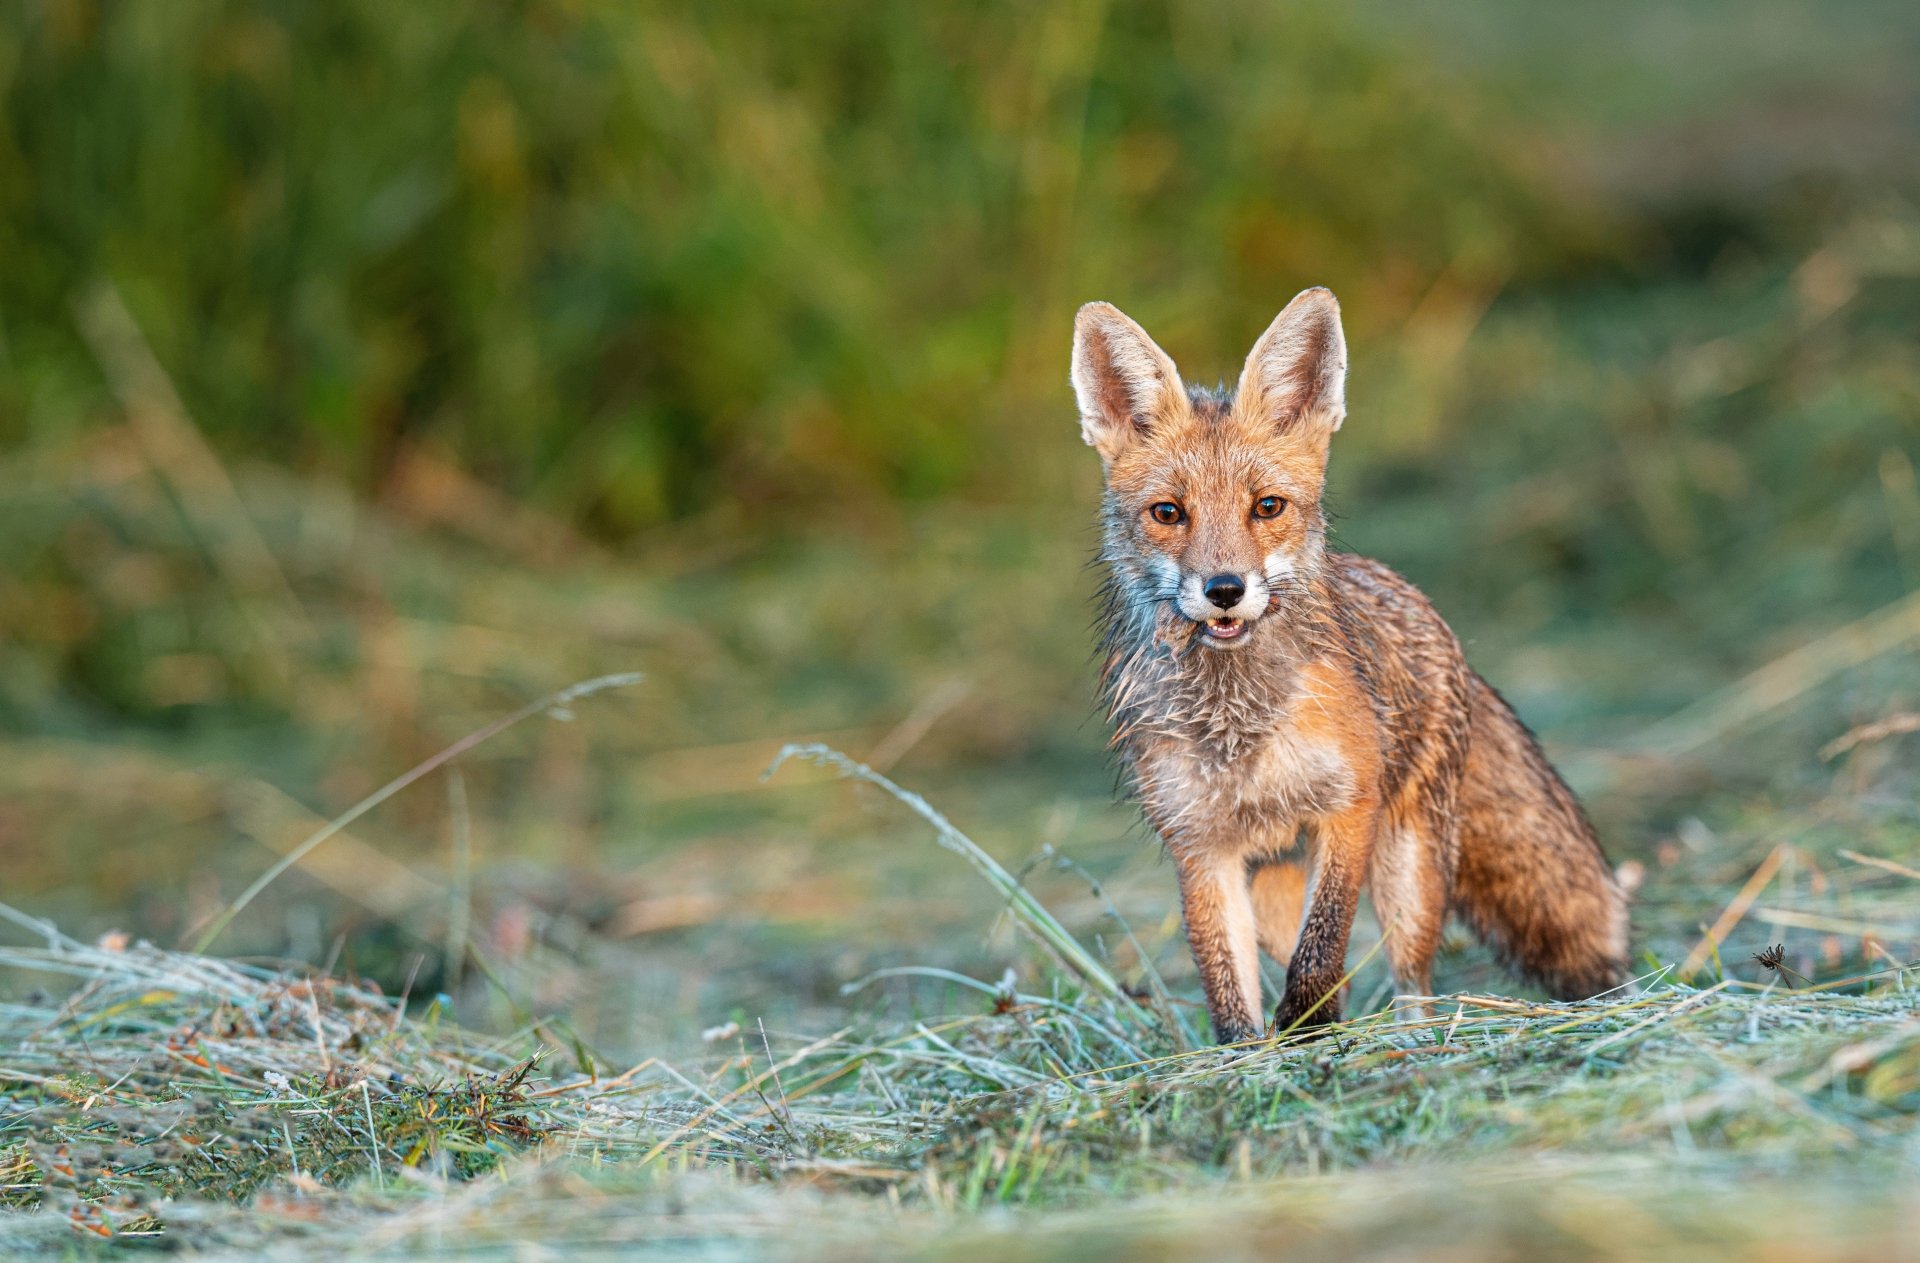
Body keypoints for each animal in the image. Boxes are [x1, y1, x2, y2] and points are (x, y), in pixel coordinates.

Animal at [1072, 288, 1630, 1043]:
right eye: (1168, 513)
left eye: (1267, 507)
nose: (1225, 589)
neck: (1240, 724)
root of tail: (1402, 589)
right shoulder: (1201, 844)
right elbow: (1228, 990)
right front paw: (1252, 1056)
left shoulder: (1347, 808)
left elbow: (1324, 947)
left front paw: (1311, 1027)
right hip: (1273, 885)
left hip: (1409, 867)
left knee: (1412, 977)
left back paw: (1411, 1039)